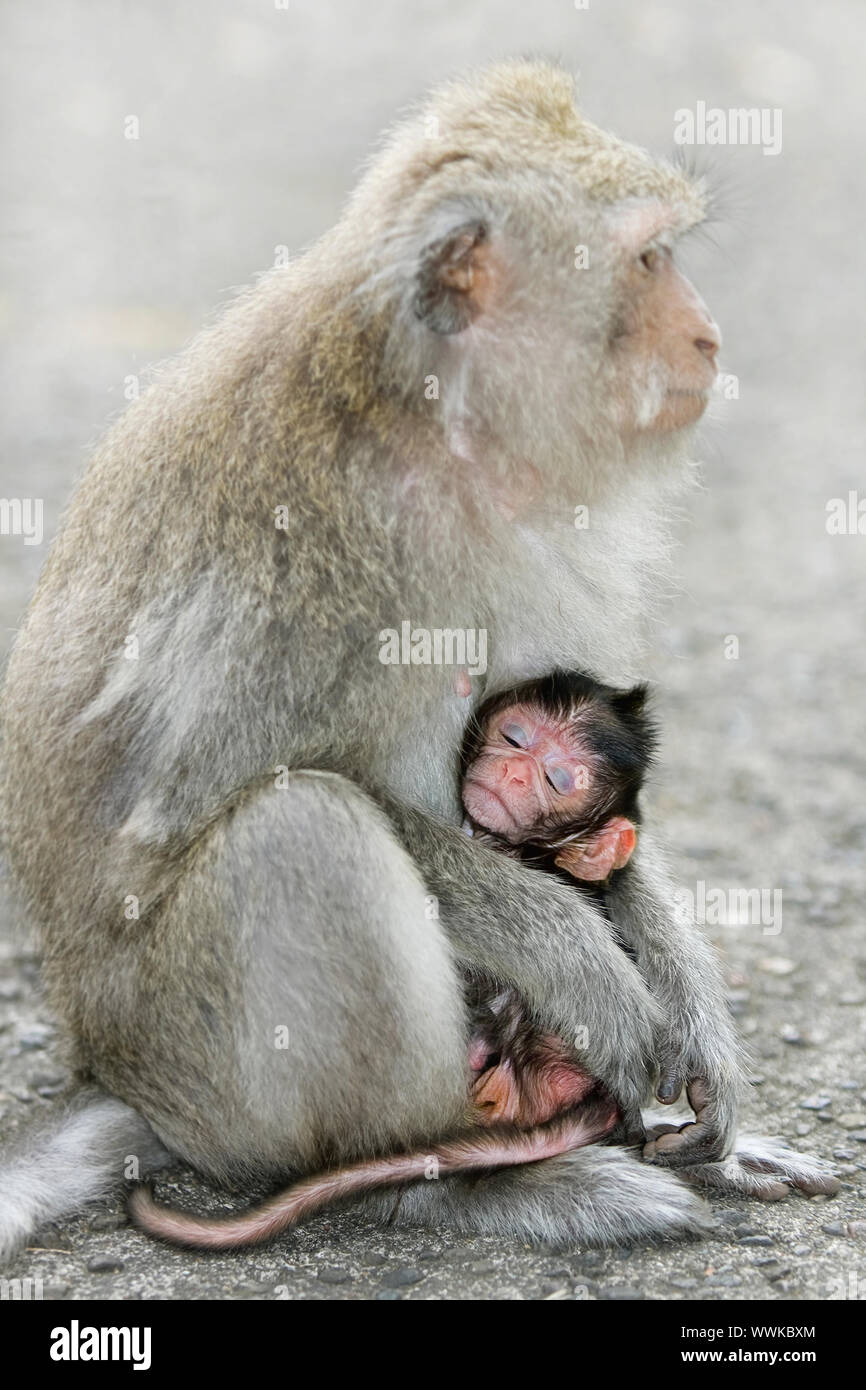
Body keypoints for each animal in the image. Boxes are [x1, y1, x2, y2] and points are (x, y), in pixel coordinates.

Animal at [0, 59, 837, 1259]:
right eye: (645, 260)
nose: (708, 338)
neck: (436, 422)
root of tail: (112, 1071)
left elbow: (606, 804)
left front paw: (686, 998)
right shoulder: (314, 556)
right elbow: (166, 832)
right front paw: (573, 956)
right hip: (200, 1069)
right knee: (305, 831)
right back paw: (441, 1176)